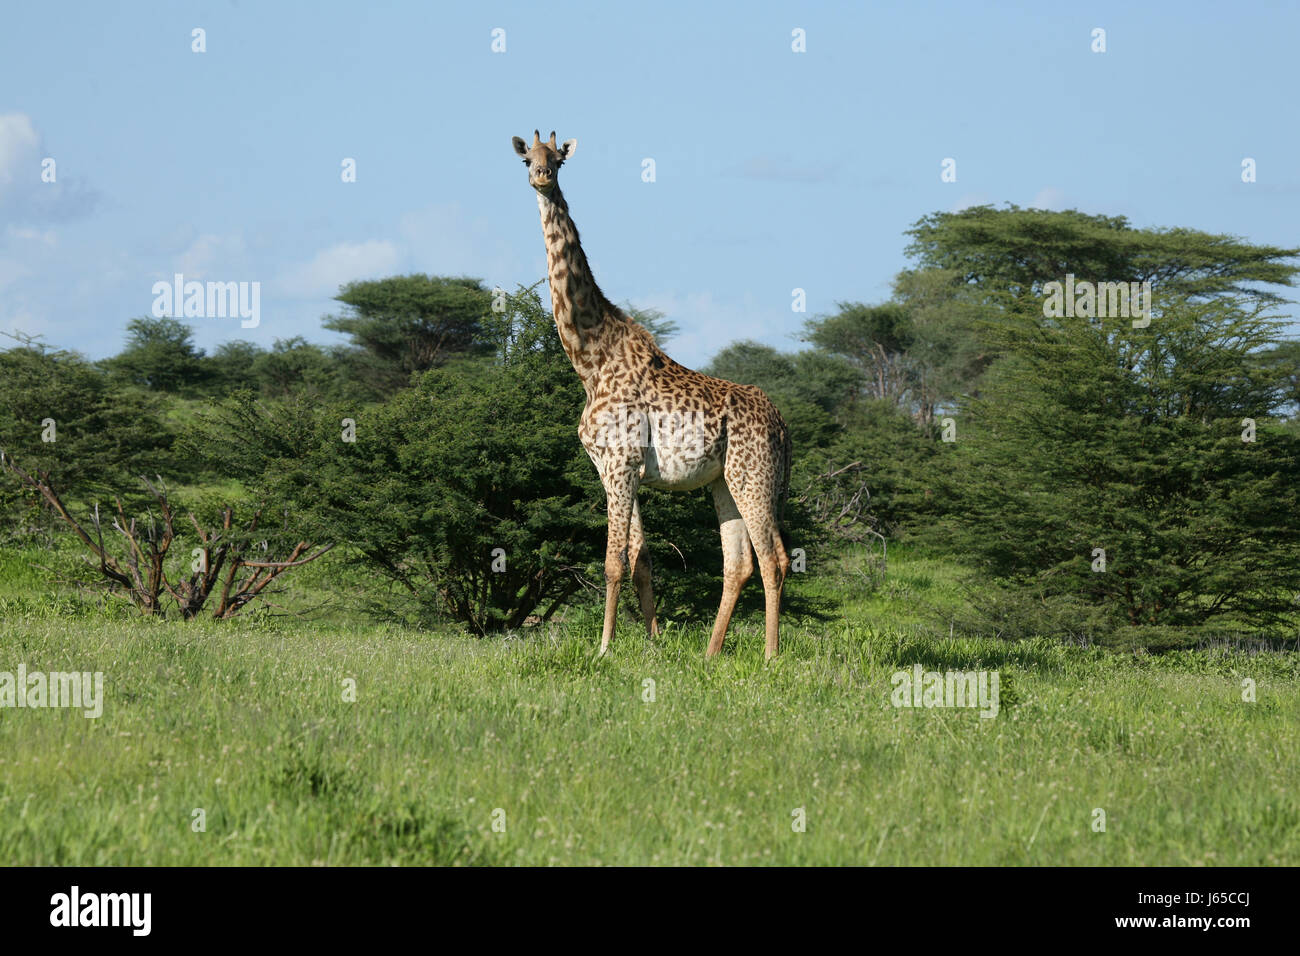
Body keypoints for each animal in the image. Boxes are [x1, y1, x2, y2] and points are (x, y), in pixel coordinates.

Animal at [511, 130, 793, 659]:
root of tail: (784, 426)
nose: (541, 177)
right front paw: (653, 643)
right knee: (739, 562)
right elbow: (640, 558)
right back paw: (710, 653)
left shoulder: (620, 464)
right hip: (723, 480)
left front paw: (603, 648)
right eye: (525, 158)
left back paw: (770, 656)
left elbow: (613, 561)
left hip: (755, 475)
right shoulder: (617, 469)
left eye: (558, 159)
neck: (590, 360)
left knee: (773, 558)